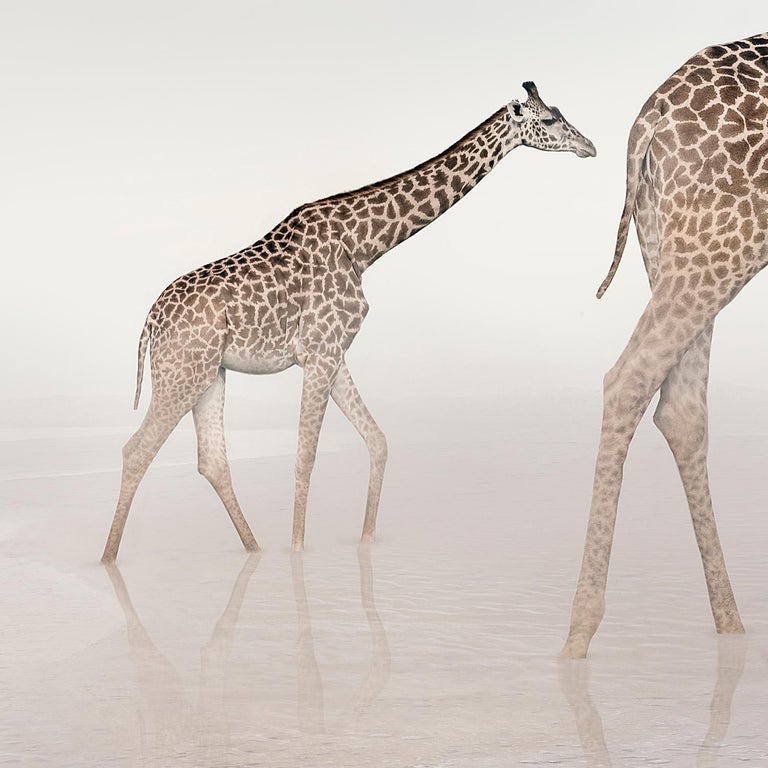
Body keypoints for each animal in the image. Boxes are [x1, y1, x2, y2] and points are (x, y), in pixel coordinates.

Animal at [101, 82, 595, 562]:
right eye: (550, 119)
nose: (588, 146)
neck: (365, 245)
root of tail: (150, 321)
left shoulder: (334, 354)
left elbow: (377, 441)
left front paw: (366, 541)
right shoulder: (320, 353)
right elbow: (306, 456)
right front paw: (298, 552)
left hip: (210, 375)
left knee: (212, 461)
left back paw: (254, 549)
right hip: (182, 374)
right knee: (136, 450)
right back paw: (108, 558)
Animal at [561, 33, 768, 658]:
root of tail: (648, 124)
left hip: (675, 246)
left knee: (681, 407)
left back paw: (733, 626)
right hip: (720, 247)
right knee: (629, 379)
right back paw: (577, 634)